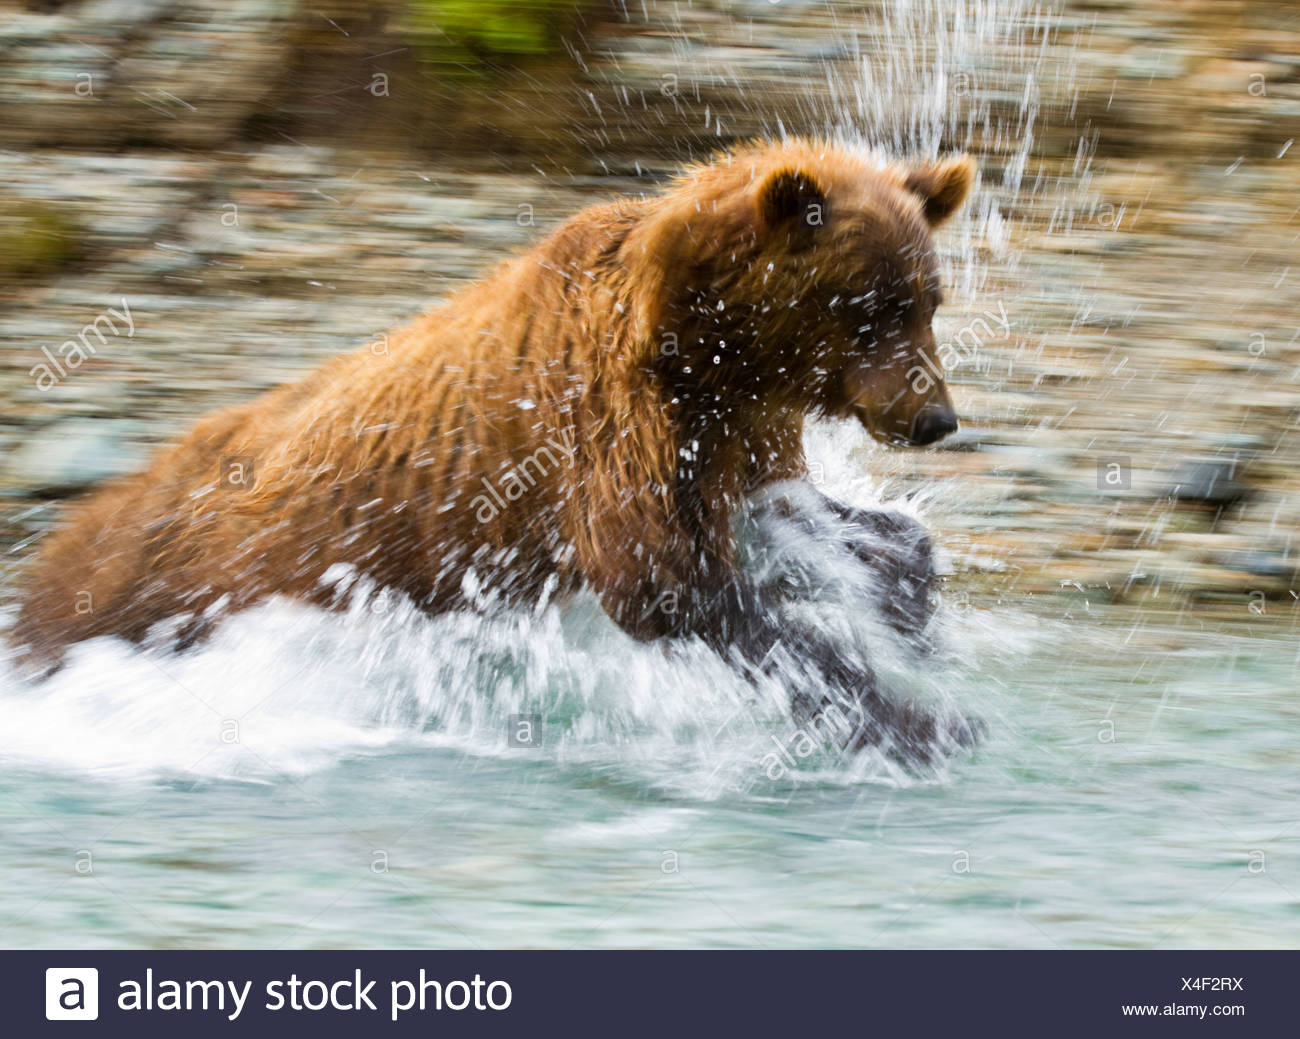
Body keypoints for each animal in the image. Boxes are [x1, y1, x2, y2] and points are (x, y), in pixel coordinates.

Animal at [11, 139, 976, 757]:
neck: (700, 347)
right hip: (181, 586)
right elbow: (670, 582)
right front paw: (921, 721)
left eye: (928, 299)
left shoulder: (739, 436)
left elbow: (816, 525)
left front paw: (913, 609)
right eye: (870, 305)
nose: (935, 417)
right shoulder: (609, 426)